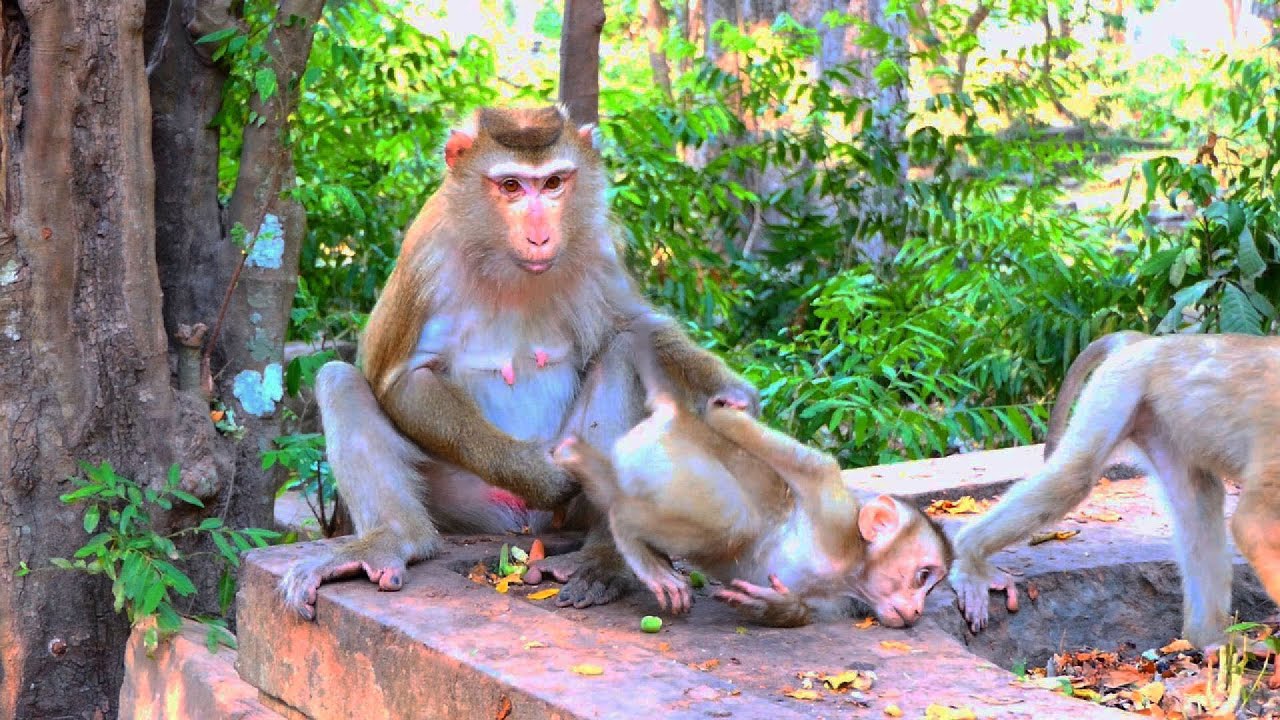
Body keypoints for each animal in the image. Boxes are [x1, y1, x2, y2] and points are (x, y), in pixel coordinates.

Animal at [279, 106, 757, 620]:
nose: (540, 234)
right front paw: (540, 475)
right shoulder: (427, 253)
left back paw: (608, 558)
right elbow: (402, 379)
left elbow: (634, 326)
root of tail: (529, 528)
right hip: (464, 503)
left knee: (622, 351)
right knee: (337, 377)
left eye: (552, 183)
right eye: (510, 186)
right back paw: (394, 540)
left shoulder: (597, 244)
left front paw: (726, 391)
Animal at [550, 317, 953, 627]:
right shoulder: (832, 505)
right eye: (922, 576)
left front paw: (774, 607)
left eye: (930, 585)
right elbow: (733, 423)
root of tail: (671, 415)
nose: (918, 608)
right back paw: (628, 536)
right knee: (733, 521)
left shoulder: (843, 600)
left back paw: (577, 460)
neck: (850, 567)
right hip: (664, 457)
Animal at [950, 331, 1280, 648]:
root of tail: (1149, 341)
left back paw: (1210, 639)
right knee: (1073, 477)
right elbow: (1252, 525)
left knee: (1198, 502)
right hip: (1122, 382)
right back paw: (969, 556)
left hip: (1161, 419)